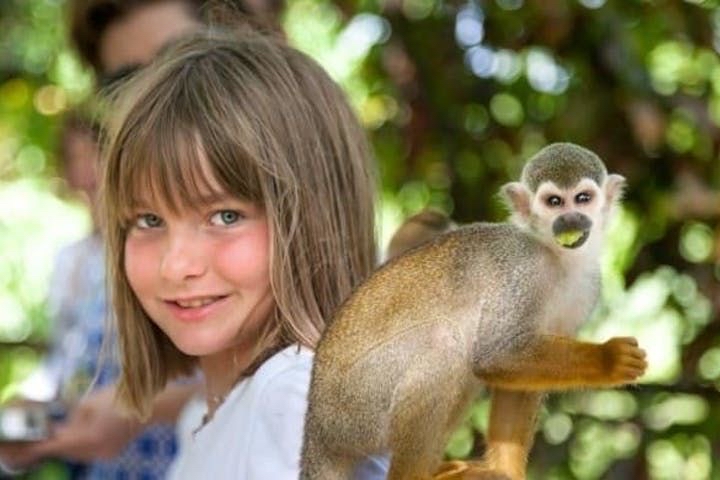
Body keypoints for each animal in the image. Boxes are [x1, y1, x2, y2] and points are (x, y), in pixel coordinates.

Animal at [300, 142, 647, 480]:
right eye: (554, 202)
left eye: (582, 199)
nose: (570, 221)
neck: (556, 257)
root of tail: (316, 426)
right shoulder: (521, 274)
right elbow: (496, 354)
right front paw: (608, 359)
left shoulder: (587, 288)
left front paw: (504, 471)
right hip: (356, 408)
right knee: (444, 344)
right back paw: (413, 475)